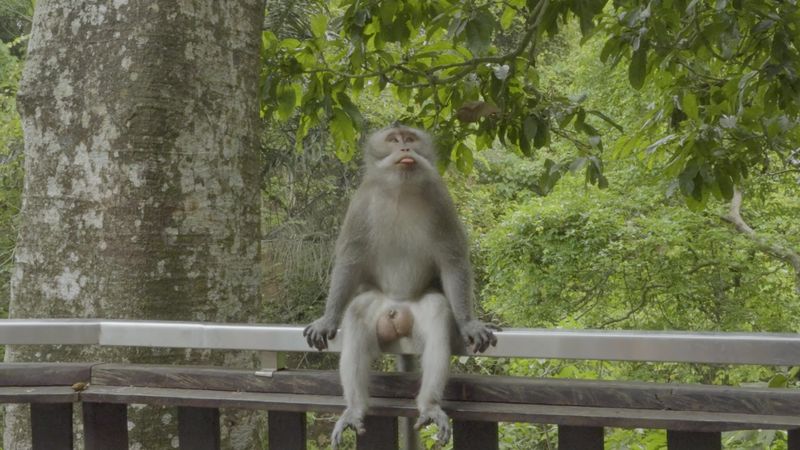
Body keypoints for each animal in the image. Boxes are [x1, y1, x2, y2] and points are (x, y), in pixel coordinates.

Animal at [303, 125, 500, 448]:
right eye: (393, 140)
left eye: (410, 139)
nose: (405, 149)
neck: (401, 189)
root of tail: (397, 308)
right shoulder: (361, 201)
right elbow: (350, 261)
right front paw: (328, 319)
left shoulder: (439, 197)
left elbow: (453, 260)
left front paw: (469, 322)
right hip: (380, 304)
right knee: (357, 312)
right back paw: (355, 408)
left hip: (416, 311)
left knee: (436, 312)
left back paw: (429, 405)